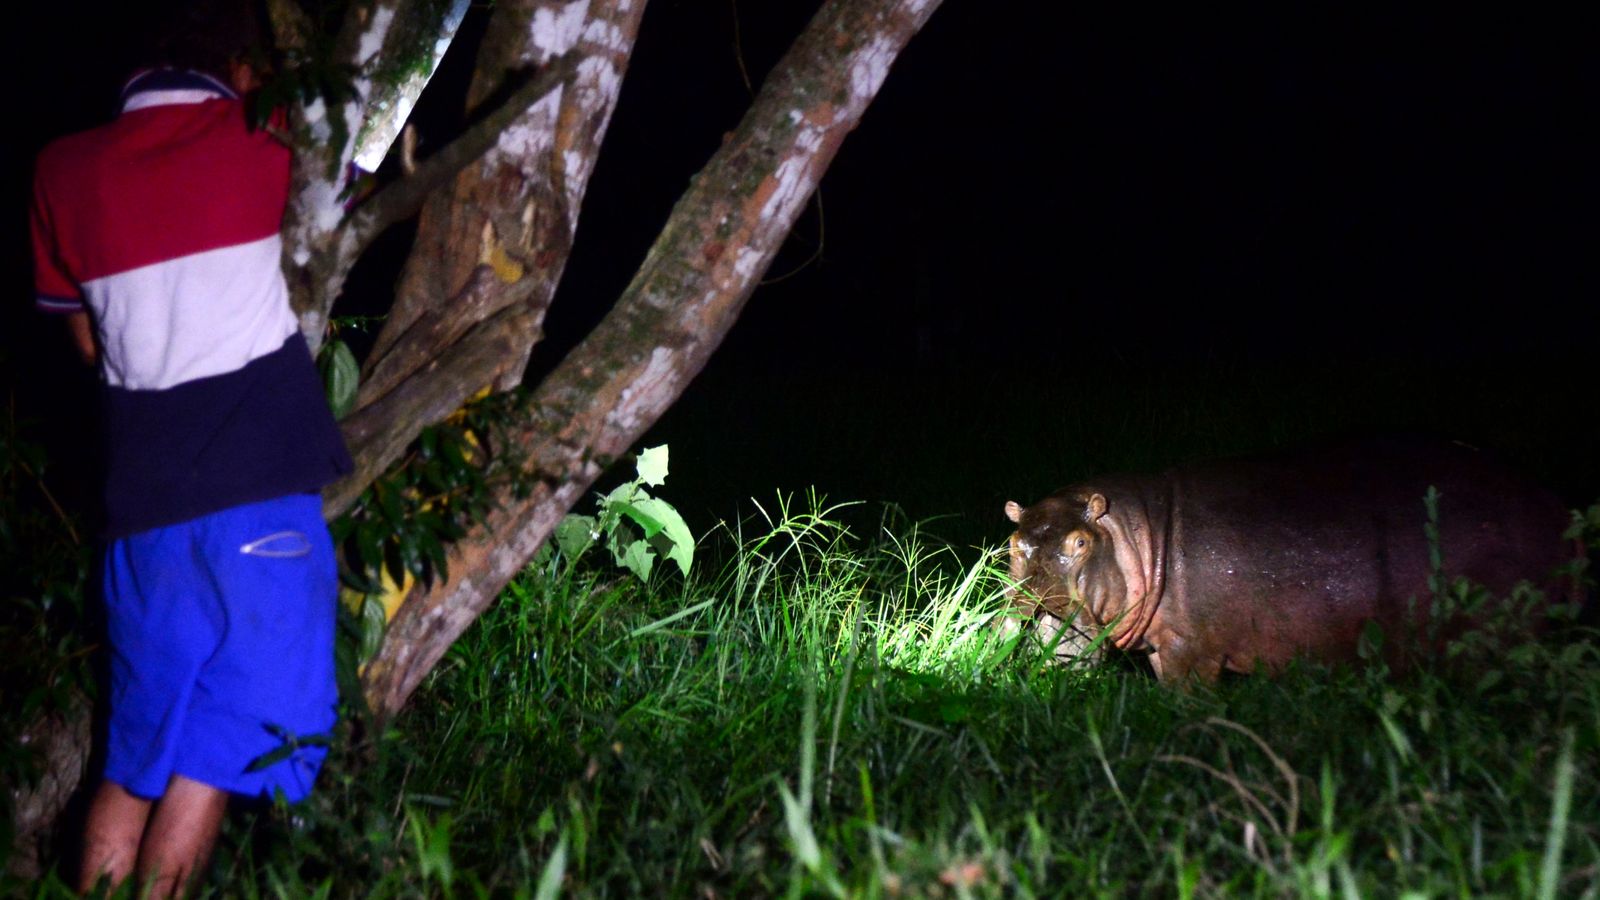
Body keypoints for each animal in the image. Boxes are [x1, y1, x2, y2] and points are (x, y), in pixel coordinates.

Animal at [1000, 438, 1576, 682]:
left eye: (1080, 543)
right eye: (1013, 542)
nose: (1036, 595)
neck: (1139, 533)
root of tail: (1559, 507)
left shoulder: (1190, 647)